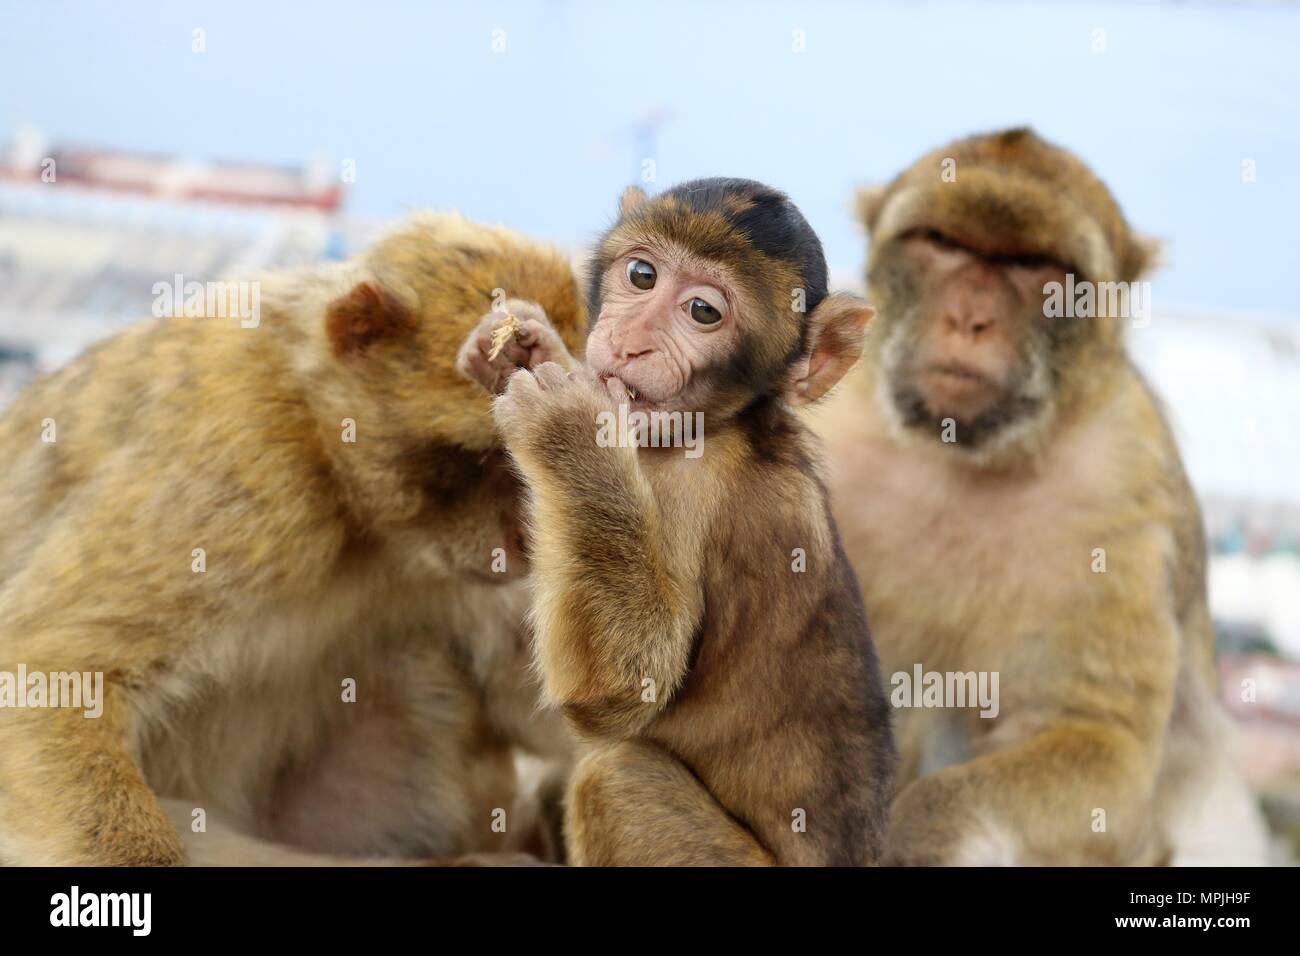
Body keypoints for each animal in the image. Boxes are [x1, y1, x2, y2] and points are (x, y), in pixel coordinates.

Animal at [459, 178, 896, 866]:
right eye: (642, 275)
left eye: (703, 312)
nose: (629, 339)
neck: (720, 426)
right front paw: (528, 349)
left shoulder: (693, 490)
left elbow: (624, 686)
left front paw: (571, 430)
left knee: (615, 776)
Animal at [807, 127, 1269, 865]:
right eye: (941, 242)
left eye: (1033, 264)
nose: (969, 317)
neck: (961, 451)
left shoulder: (1126, 482)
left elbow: (1106, 751)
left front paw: (920, 835)